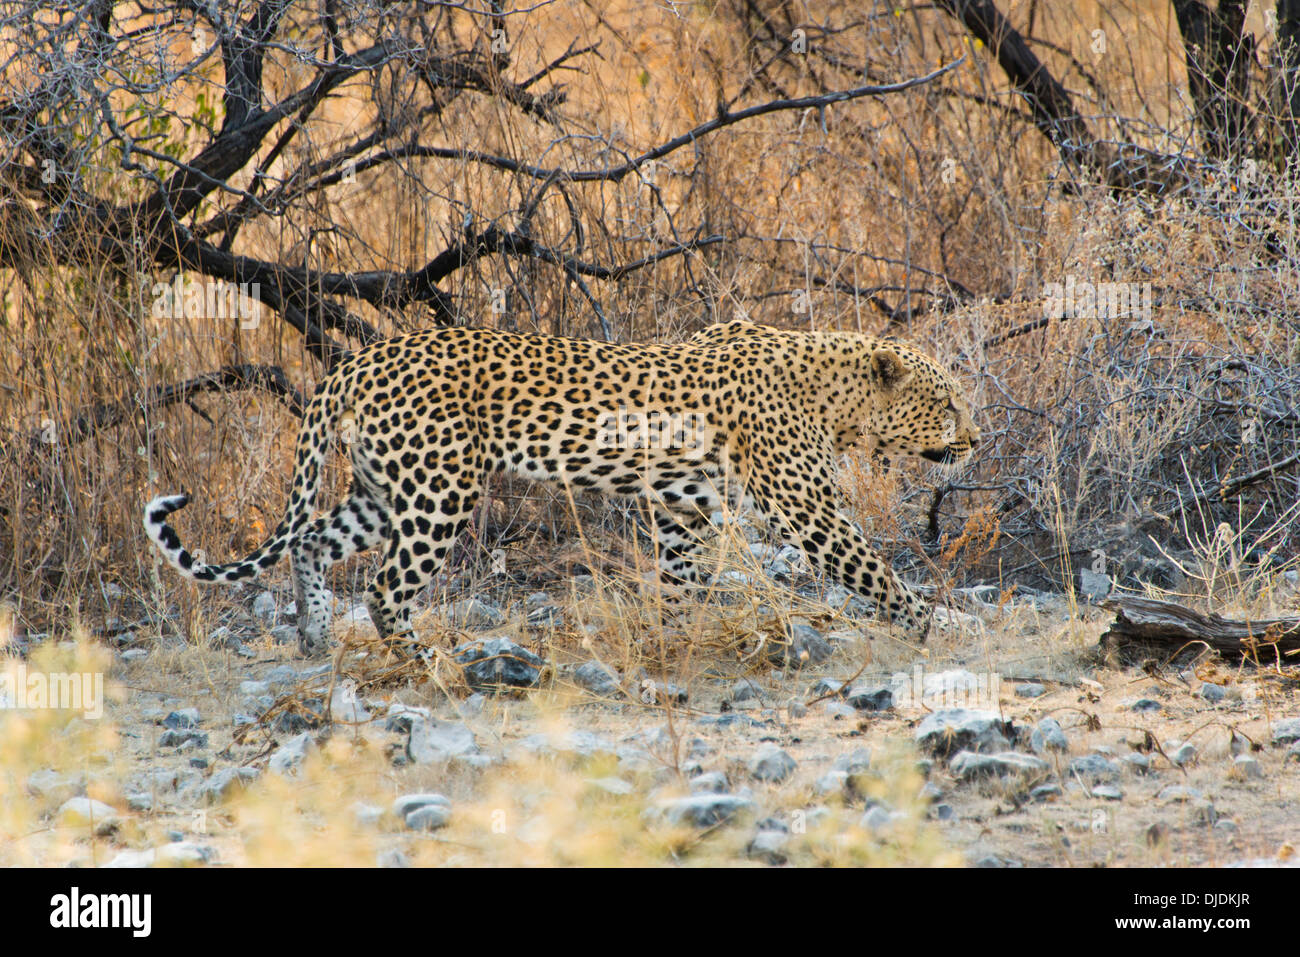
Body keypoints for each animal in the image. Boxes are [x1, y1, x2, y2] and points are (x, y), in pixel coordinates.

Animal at [144, 319, 980, 655]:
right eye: (948, 403)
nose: (975, 439)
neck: (837, 394)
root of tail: (356, 361)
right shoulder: (809, 511)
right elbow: (873, 571)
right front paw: (939, 625)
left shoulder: (686, 508)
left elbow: (681, 579)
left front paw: (670, 640)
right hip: (439, 490)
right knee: (385, 586)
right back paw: (430, 665)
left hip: (385, 489)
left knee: (314, 540)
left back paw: (315, 633)